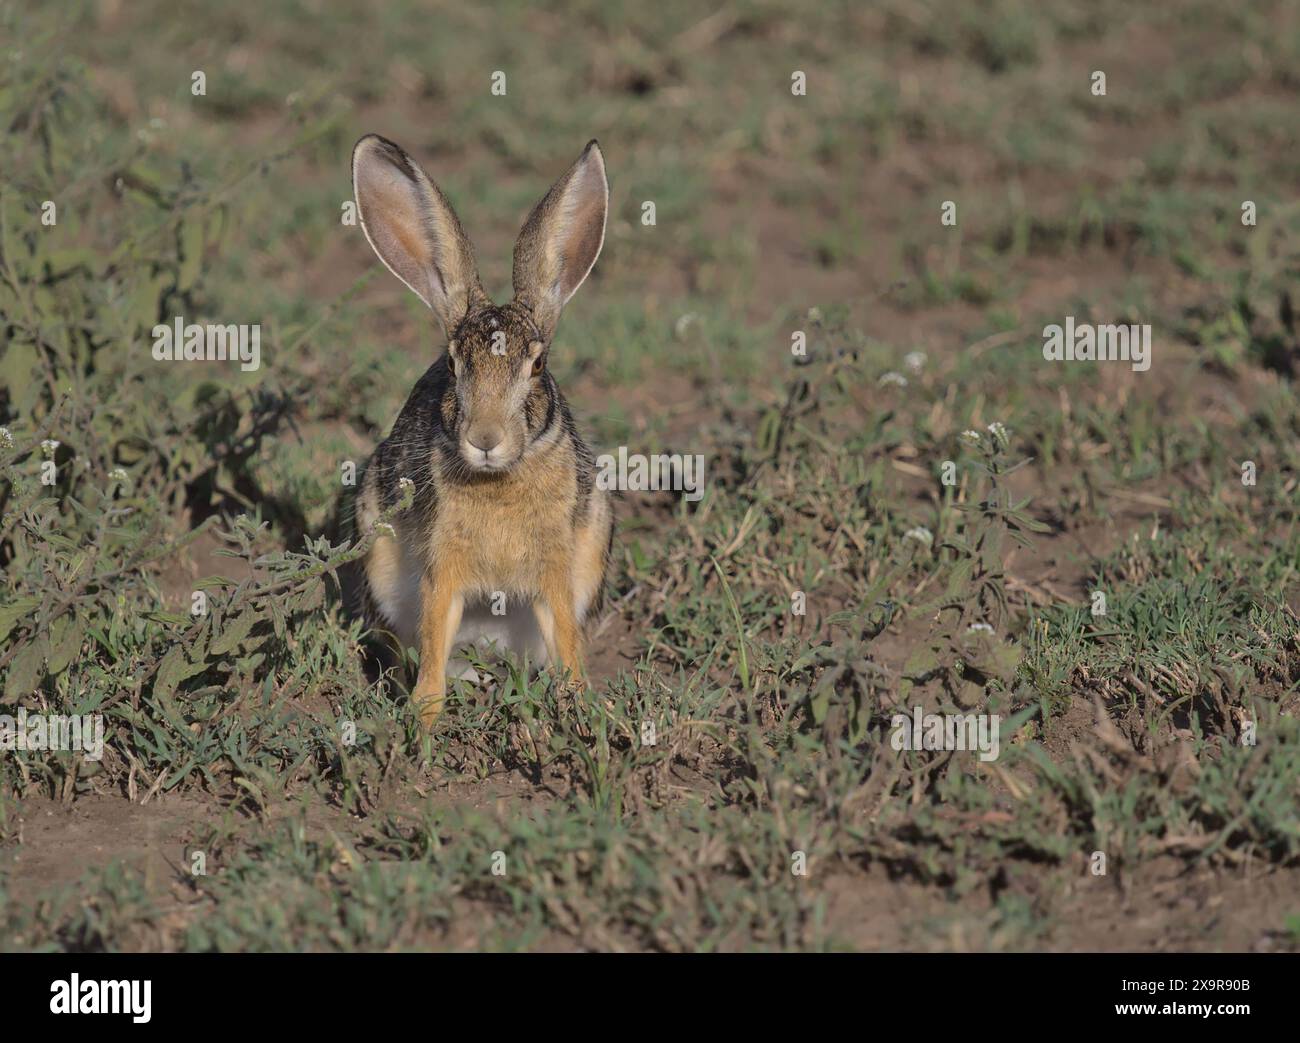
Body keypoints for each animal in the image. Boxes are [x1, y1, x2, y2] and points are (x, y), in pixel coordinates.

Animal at [343, 134, 614, 729]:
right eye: (452, 364)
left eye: (537, 365)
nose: (484, 439)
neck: (500, 479)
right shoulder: (442, 568)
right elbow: (434, 632)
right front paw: (425, 716)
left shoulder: (557, 568)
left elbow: (565, 633)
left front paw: (581, 703)